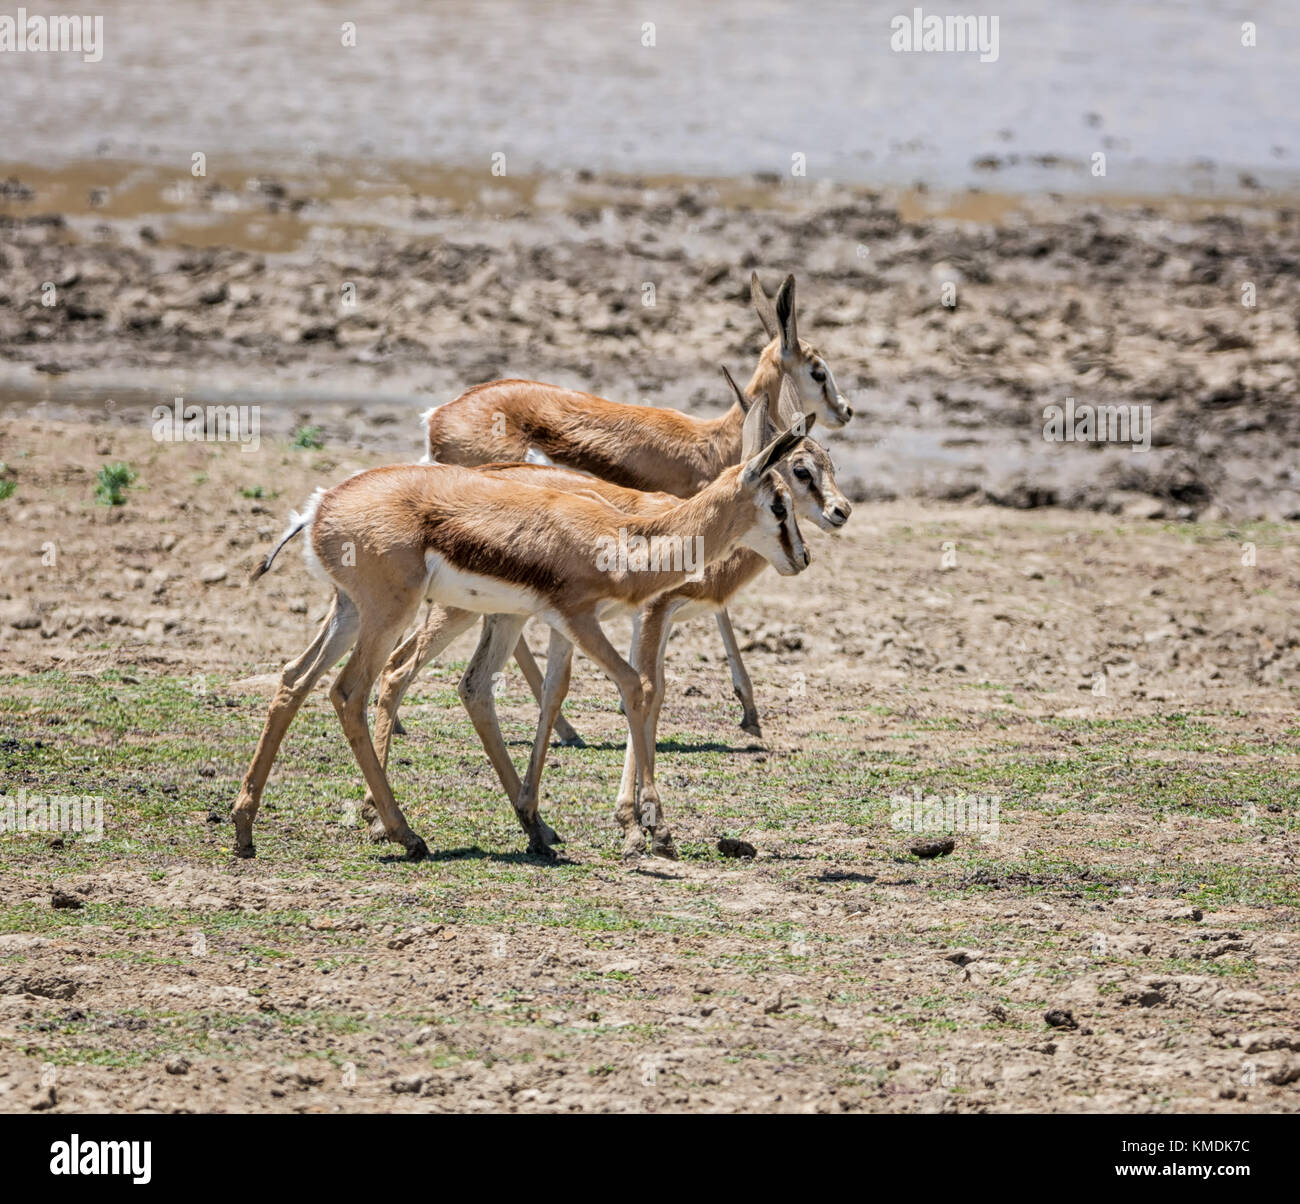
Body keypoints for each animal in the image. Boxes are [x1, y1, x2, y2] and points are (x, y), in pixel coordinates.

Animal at [232, 399, 811, 862]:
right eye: (780, 502)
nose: (802, 557)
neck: (625, 540)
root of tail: (320, 507)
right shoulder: (579, 618)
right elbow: (637, 687)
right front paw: (652, 830)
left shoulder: (527, 619)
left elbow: (524, 692)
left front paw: (537, 822)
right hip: (389, 614)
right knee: (351, 692)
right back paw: (404, 834)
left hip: (352, 611)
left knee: (294, 680)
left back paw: (244, 828)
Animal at [370, 372, 851, 858]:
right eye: (796, 478)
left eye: (829, 464)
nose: (838, 515)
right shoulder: (650, 614)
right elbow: (645, 691)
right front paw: (641, 827)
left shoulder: (631, 621)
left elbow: (608, 691)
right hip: (459, 609)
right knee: (398, 668)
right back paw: (384, 820)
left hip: (494, 612)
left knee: (459, 679)